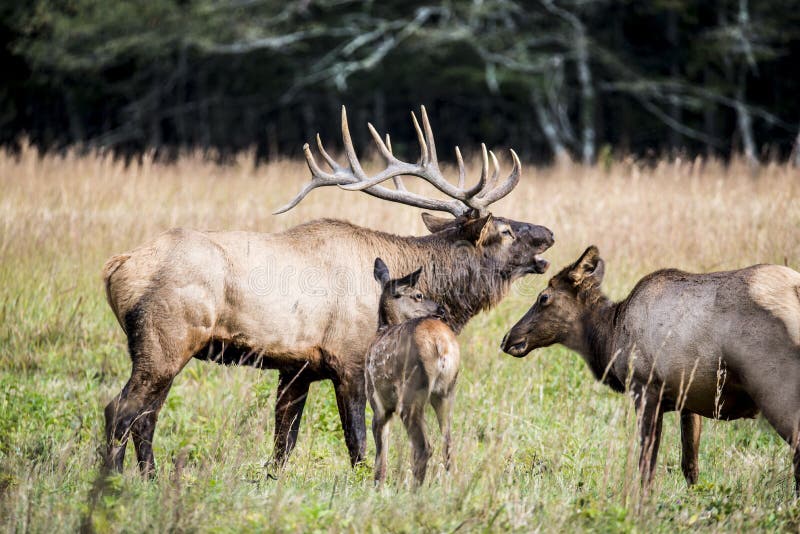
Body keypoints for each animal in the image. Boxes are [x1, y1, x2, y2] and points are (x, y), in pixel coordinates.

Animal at [367, 258, 459, 486]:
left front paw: (377, 488)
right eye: (419, 295)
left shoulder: (377, 403)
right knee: (448, 445)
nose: (441, 310)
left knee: (424, 447)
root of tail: (440, 344)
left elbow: (380, 457)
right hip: (446, 391)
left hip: (411, 392)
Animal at [501, 246, 800, 494]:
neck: (610, 338)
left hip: (775, 389)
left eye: (543, 297)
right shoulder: (689, 400)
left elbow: (647, 465)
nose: (508, 339)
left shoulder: (645, 389)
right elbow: (690, 467)